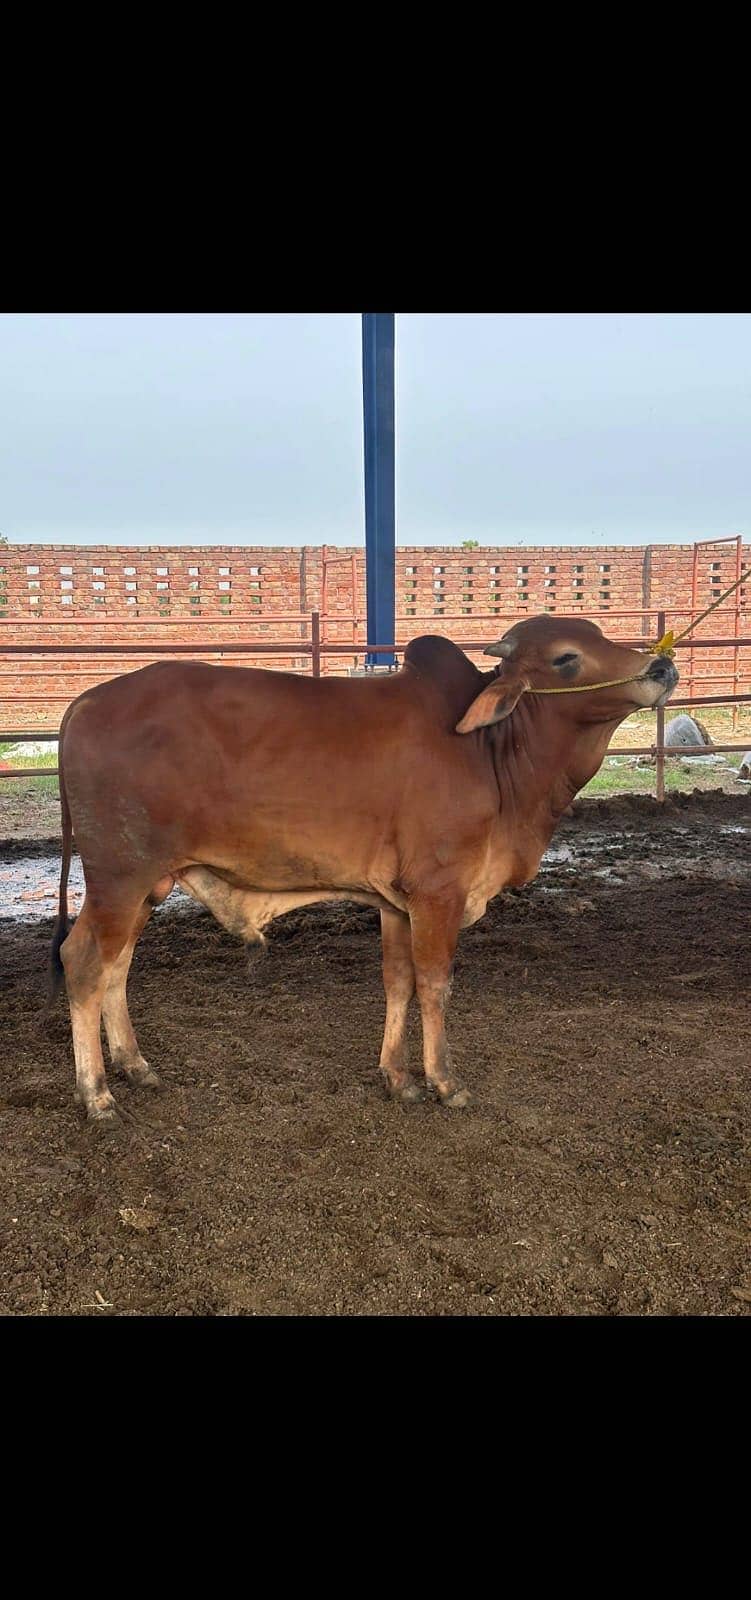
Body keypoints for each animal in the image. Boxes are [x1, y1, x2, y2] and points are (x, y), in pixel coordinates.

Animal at [49, 616, 678, 1124]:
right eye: (567, 657)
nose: (661, 665)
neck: (495, 754)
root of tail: (86, 702)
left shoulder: (397, 903)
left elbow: (398, 981)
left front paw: (398, 1079)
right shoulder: (439, 892)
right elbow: (435, 984)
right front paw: (445, 1082)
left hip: (147, 885)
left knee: (118, 968)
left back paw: (135, 1065)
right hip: (119, 878)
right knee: (84, 963)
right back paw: (97, 1093)